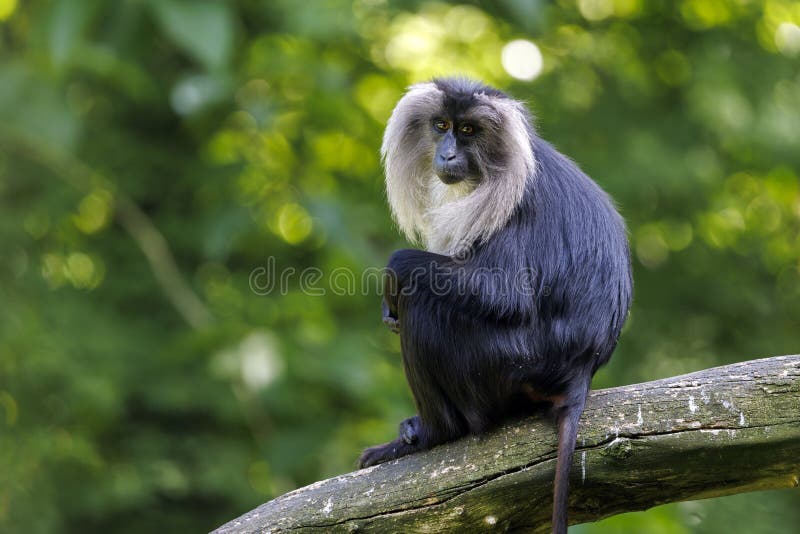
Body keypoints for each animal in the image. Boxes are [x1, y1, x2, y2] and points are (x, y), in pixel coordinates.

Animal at [358, 78, 632, 534]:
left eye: (468, 131)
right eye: (442, 125)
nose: (448, 153)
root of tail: (580, 373)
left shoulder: (515, 201)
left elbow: (504, 295)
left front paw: (394, 277)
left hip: (502, 364)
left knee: (426, 304)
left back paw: (431, 435)